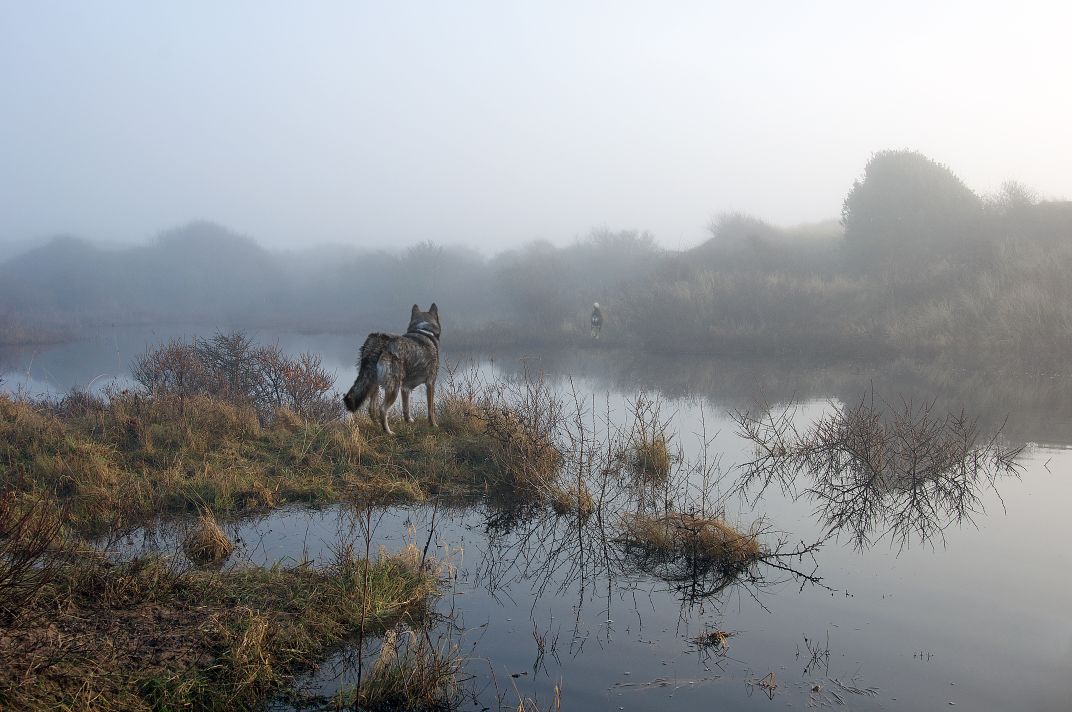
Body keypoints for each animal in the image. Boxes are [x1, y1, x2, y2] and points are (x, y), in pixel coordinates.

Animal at [342, 303, 440, 434]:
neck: (424, 330)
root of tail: (379, 341)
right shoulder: (430, 383)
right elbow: (431, 409)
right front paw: (433, 425)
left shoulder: (405, 388)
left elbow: (406, 408)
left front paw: (408, 421)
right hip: (393, 388)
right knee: (382, 409)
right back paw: (388, 432)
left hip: (373, 384)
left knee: (372, 409)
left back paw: (377, 427)